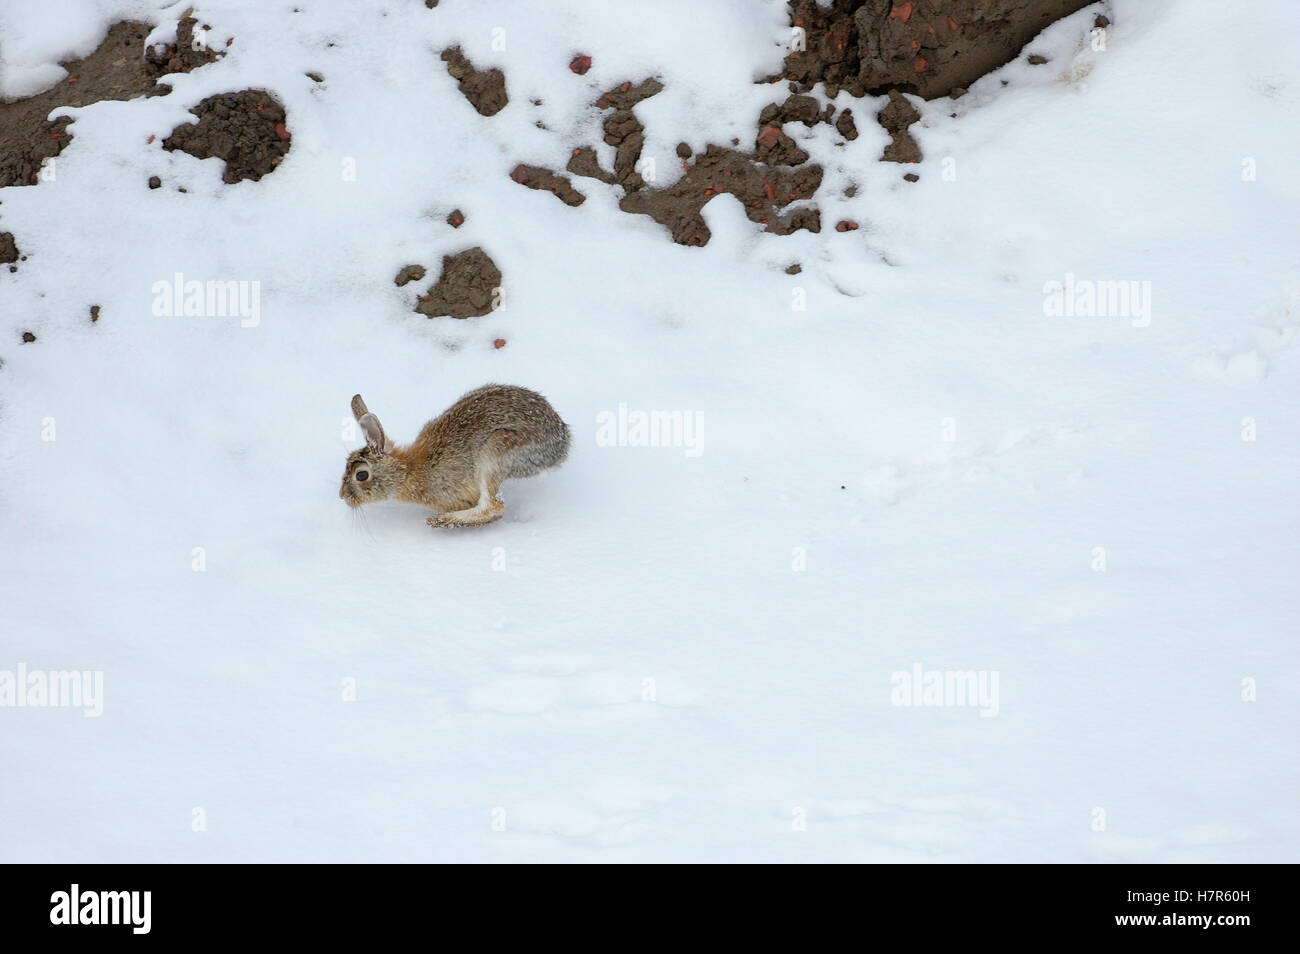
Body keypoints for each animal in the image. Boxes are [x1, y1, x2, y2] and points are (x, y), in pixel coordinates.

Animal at [339, 384, 570, 528]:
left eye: (361, 475)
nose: (343, 497)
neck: (407, 472)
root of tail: (562, 441)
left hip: (495, 451)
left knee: (494, 507)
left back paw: (441, 520)